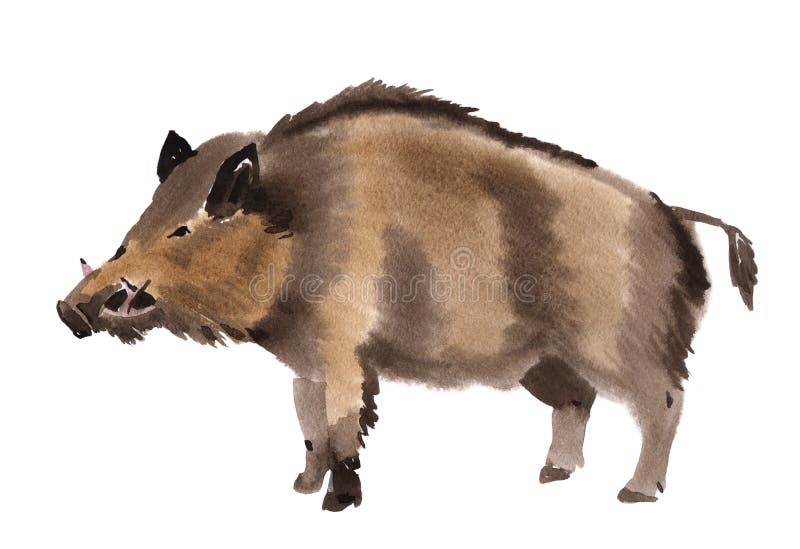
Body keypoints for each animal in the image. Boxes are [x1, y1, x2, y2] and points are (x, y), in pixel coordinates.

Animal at [57, 80, 757, 510]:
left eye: (183, 229)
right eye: (135, 229)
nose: (69, 307)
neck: (297, 225)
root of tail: (674, 216)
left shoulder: (342, 349)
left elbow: (343, 423)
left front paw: (337, 503)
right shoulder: (304, 361)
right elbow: (307, 425)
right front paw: (300, 488)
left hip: (618, 342)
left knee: (663, 401)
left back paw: (634, 493)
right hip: (542, 361)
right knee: (576, 403)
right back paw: (550, 475)